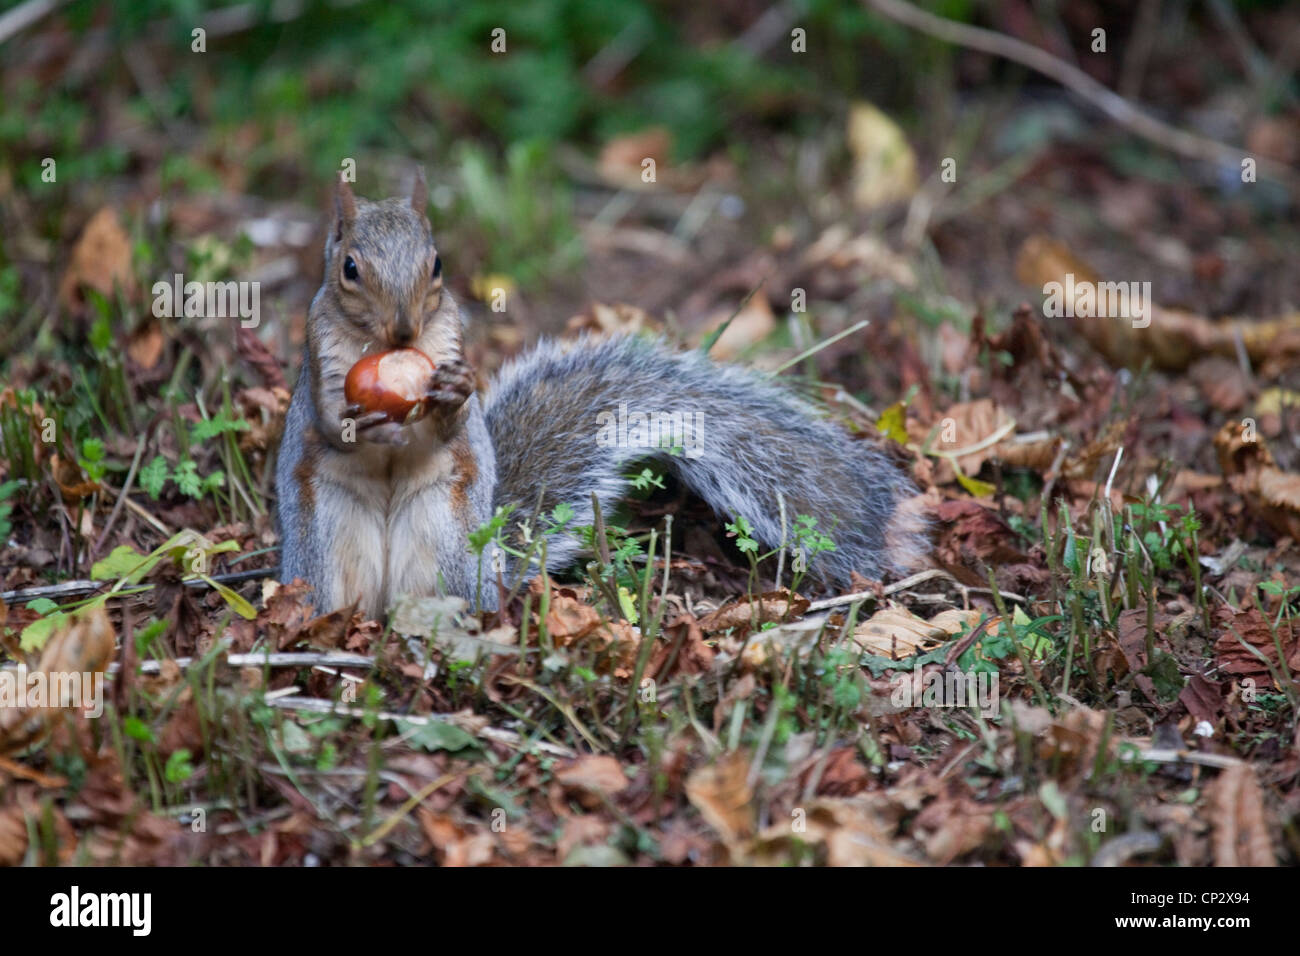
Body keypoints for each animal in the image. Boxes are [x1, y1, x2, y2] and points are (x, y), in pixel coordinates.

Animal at [276, 174, 929, 619]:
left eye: (437, 264)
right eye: (350, 268)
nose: (405, 331)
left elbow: (453, 426)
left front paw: (453, 393)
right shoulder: (318, 350)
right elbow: (330, 421)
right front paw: (362, 422)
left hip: (444, 536)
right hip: (323, 549)